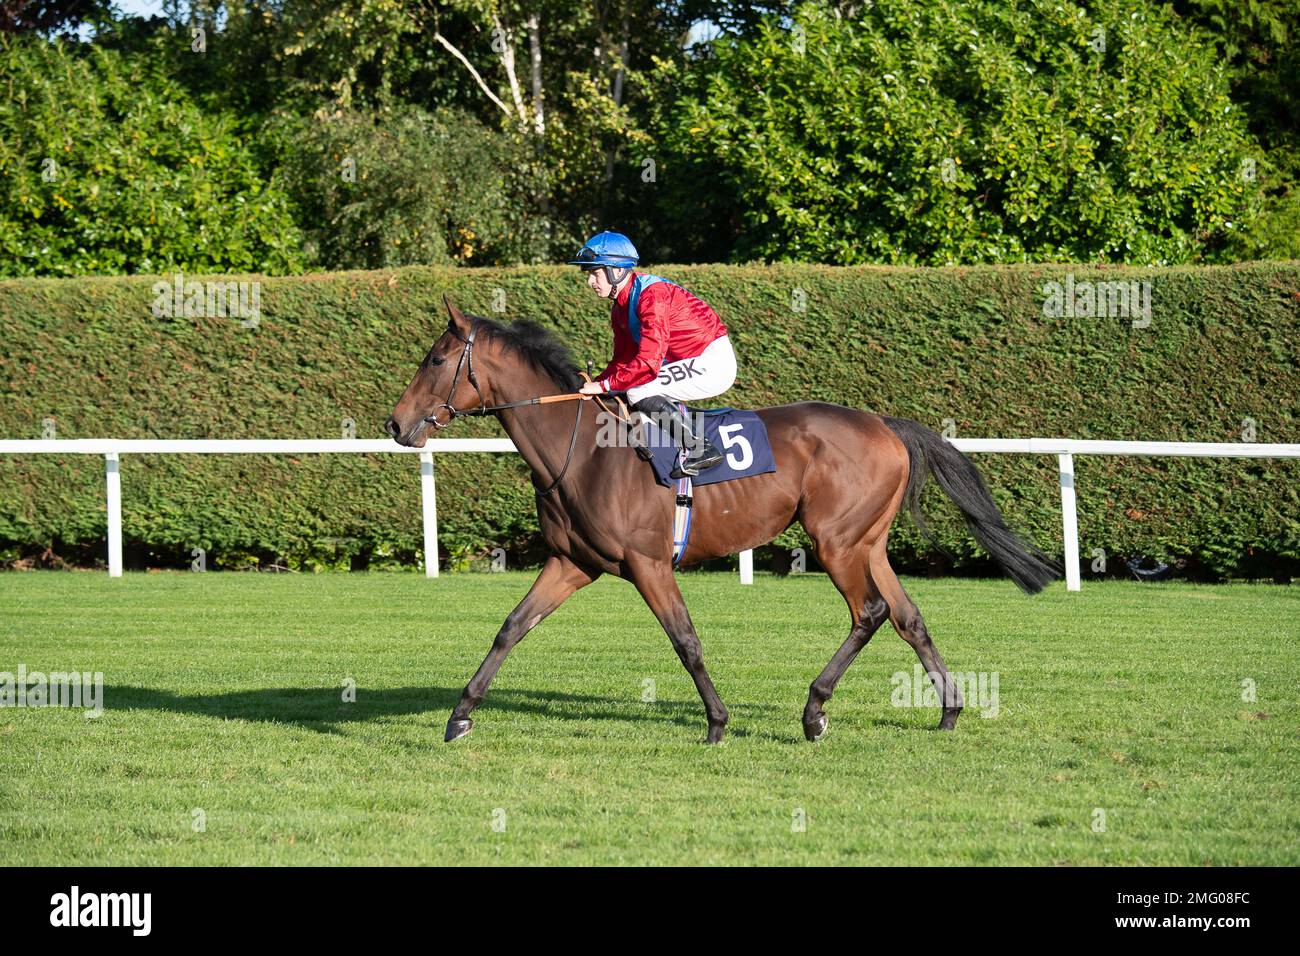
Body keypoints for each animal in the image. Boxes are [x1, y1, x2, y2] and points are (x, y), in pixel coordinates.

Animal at [385, 299, 1061, 744]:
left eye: (436, 358)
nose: (395, 424)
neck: (583, 453)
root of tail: (886, 425)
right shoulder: (572, 563)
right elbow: (511, 628)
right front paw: (460, 716)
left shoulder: (648, 563)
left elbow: (685, 640)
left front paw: (715, 722)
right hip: (867, 543)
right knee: (907, 617)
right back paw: (948, 710)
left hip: (835, 542)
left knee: (868, 613)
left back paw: (814, 712)